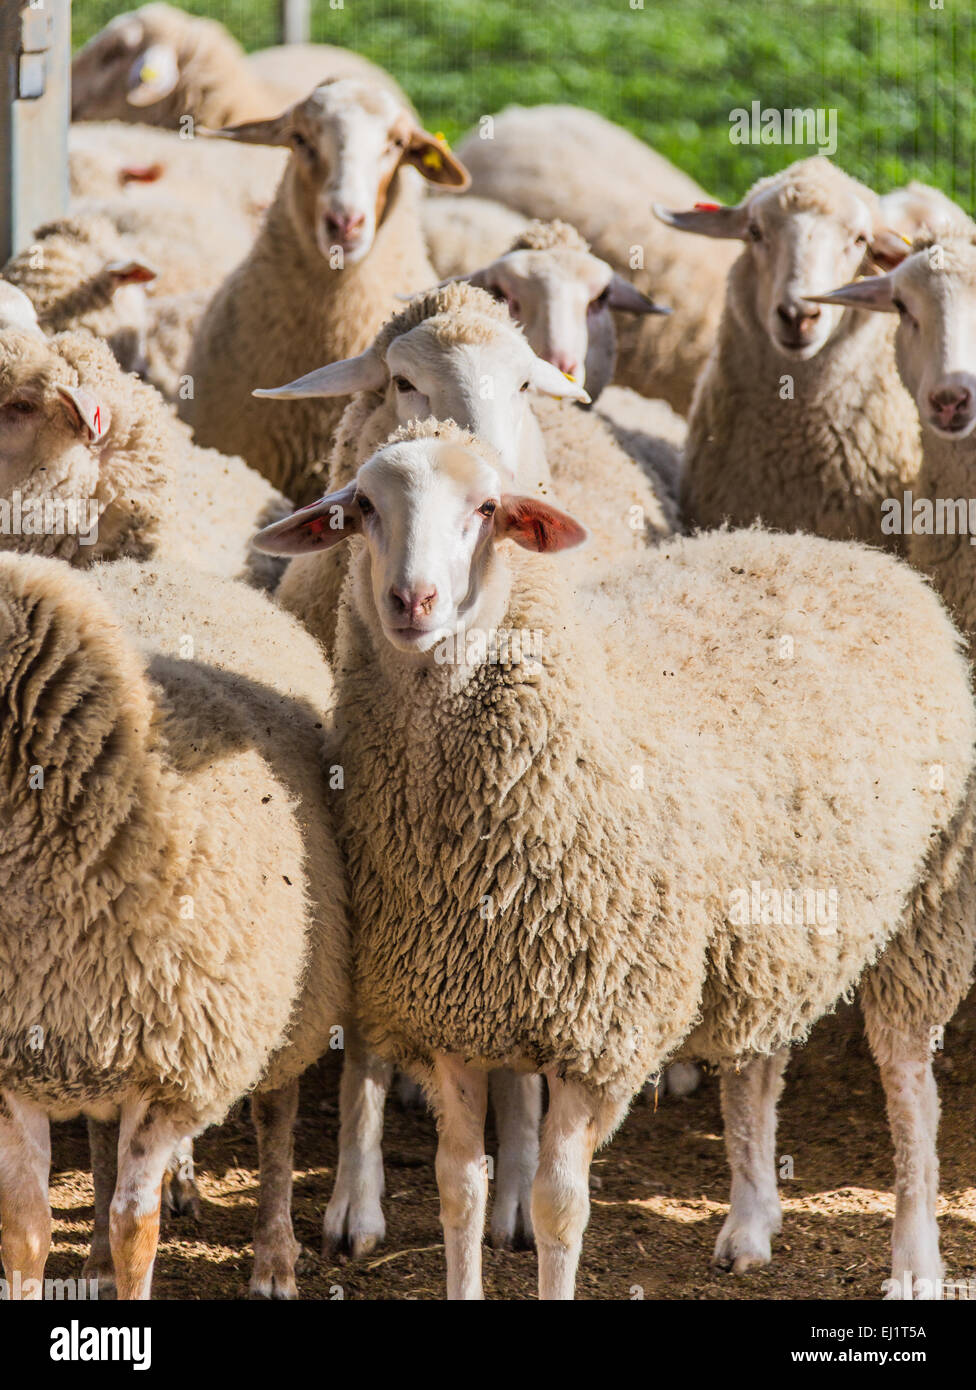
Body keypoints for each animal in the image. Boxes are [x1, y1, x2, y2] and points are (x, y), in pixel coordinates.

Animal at [0, 551, 349, 1299]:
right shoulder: (15, 1062)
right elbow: (26, 1228)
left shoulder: (175, 1071)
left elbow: (138, 1229)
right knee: (99, 1134)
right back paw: (96, 1260)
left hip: (291, 997)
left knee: (275, 1117)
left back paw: (274, 1256)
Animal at [254, 415, 976, 1300]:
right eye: (361, 507)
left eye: (487, 509)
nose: (412, 601)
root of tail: (849, 554)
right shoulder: (449, 1012)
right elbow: (460, 1188)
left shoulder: (597, 1032)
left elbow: (557, 1204)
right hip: (768, 923)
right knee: (757, 1063)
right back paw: (751, 1220)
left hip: (927, 905)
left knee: (910, 1085)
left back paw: (914, 1258)